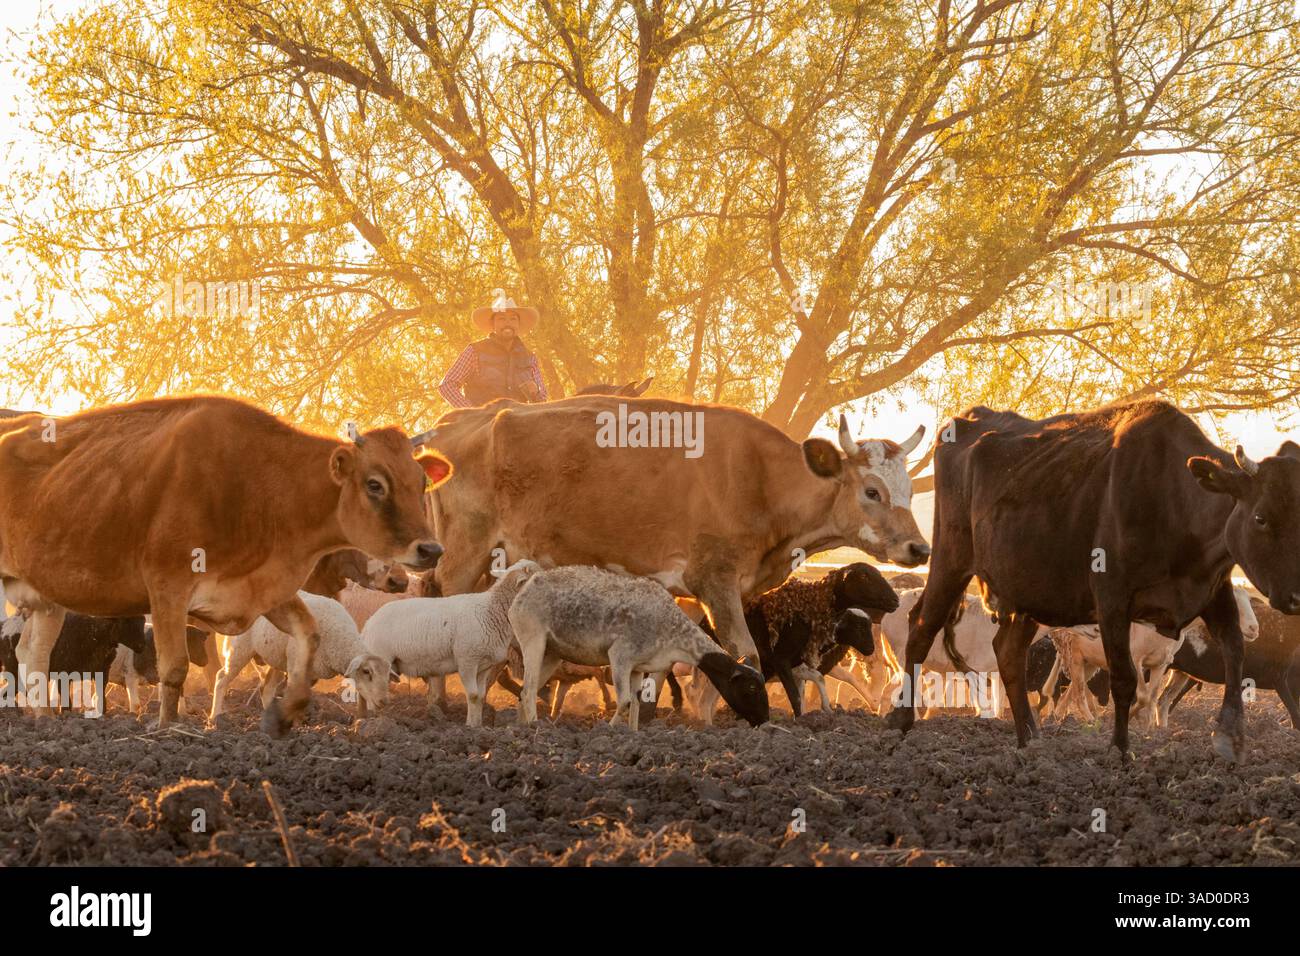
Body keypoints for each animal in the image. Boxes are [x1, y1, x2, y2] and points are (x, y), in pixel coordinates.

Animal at [0, 395, 450, 734]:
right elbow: (174, 667)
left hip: (47, 599)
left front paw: (287, 712)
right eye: (375, 484)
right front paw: (166, 728)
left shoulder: (265, 590)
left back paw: (42, 718)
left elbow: (307, 638)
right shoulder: (168, 587)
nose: (431, 550)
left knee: (33, 653)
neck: (256, 489)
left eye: (421, 481)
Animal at [413, 395, 929, 674]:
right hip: (466, 553)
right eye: (872, 491)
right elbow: (743, 652)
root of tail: (458, 423)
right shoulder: (713, 580)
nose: (919, 547)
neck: (760, 480)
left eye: (906, 488)